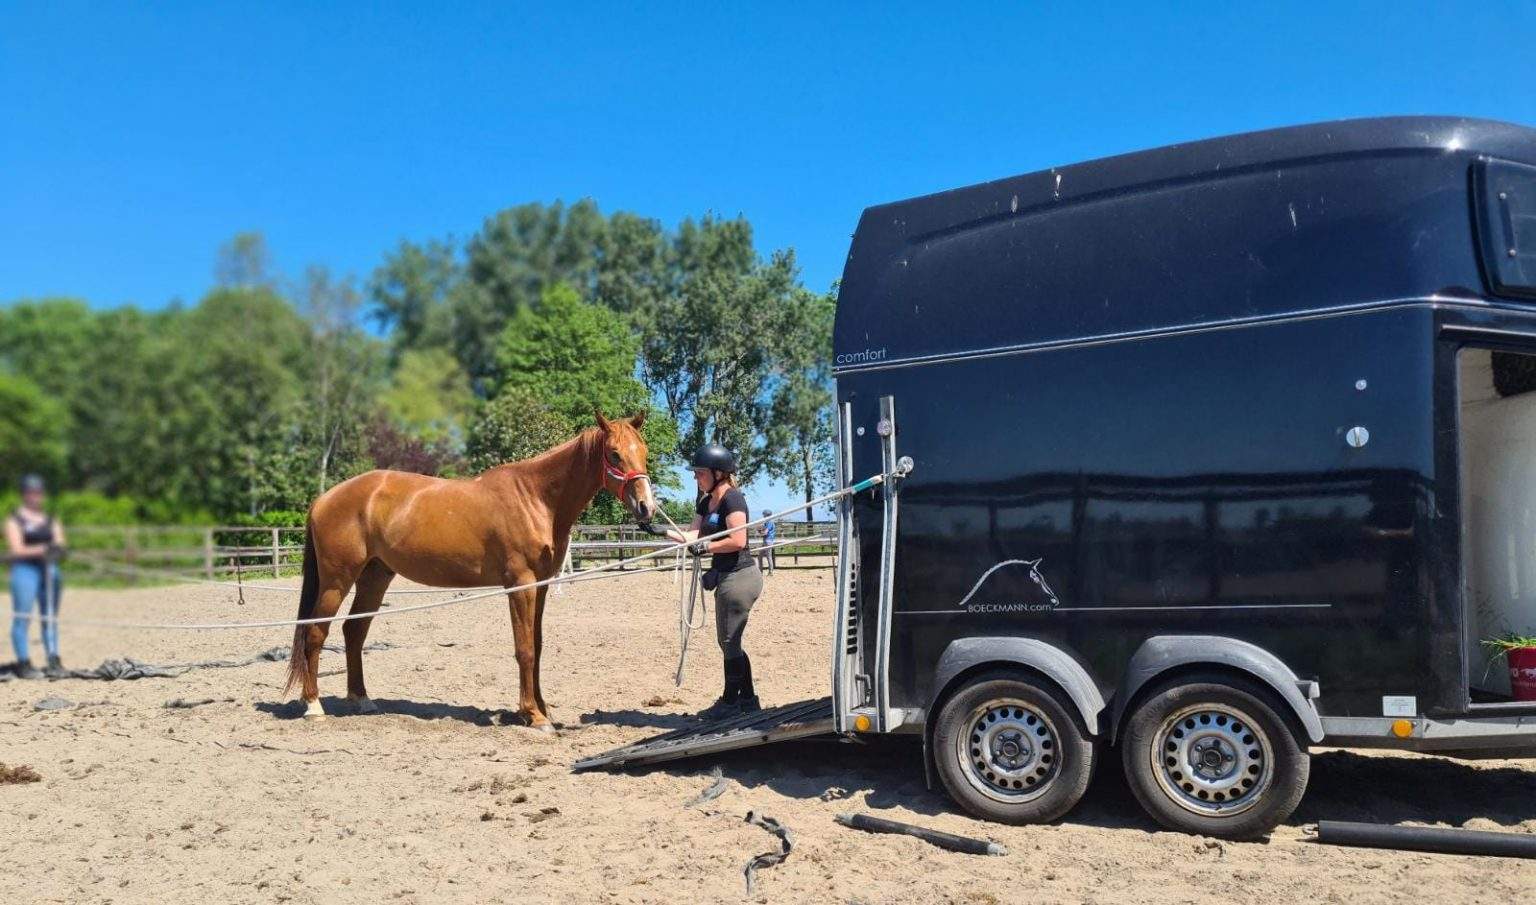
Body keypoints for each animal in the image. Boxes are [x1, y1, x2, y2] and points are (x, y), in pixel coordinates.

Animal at [283, 410, 655, 730]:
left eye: (644, 452)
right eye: (614, 455)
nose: (646, 507)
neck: (534, 497)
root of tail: (324, 498)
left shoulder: (541, 585)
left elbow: (537, 645)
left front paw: (540, 708)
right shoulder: (520, 585)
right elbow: (525, 649)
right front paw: (533, 715)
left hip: (375, 576)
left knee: (354, 632)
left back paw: (362, 700)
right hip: (337, 580)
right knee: (316, 633)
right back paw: (314, 705)